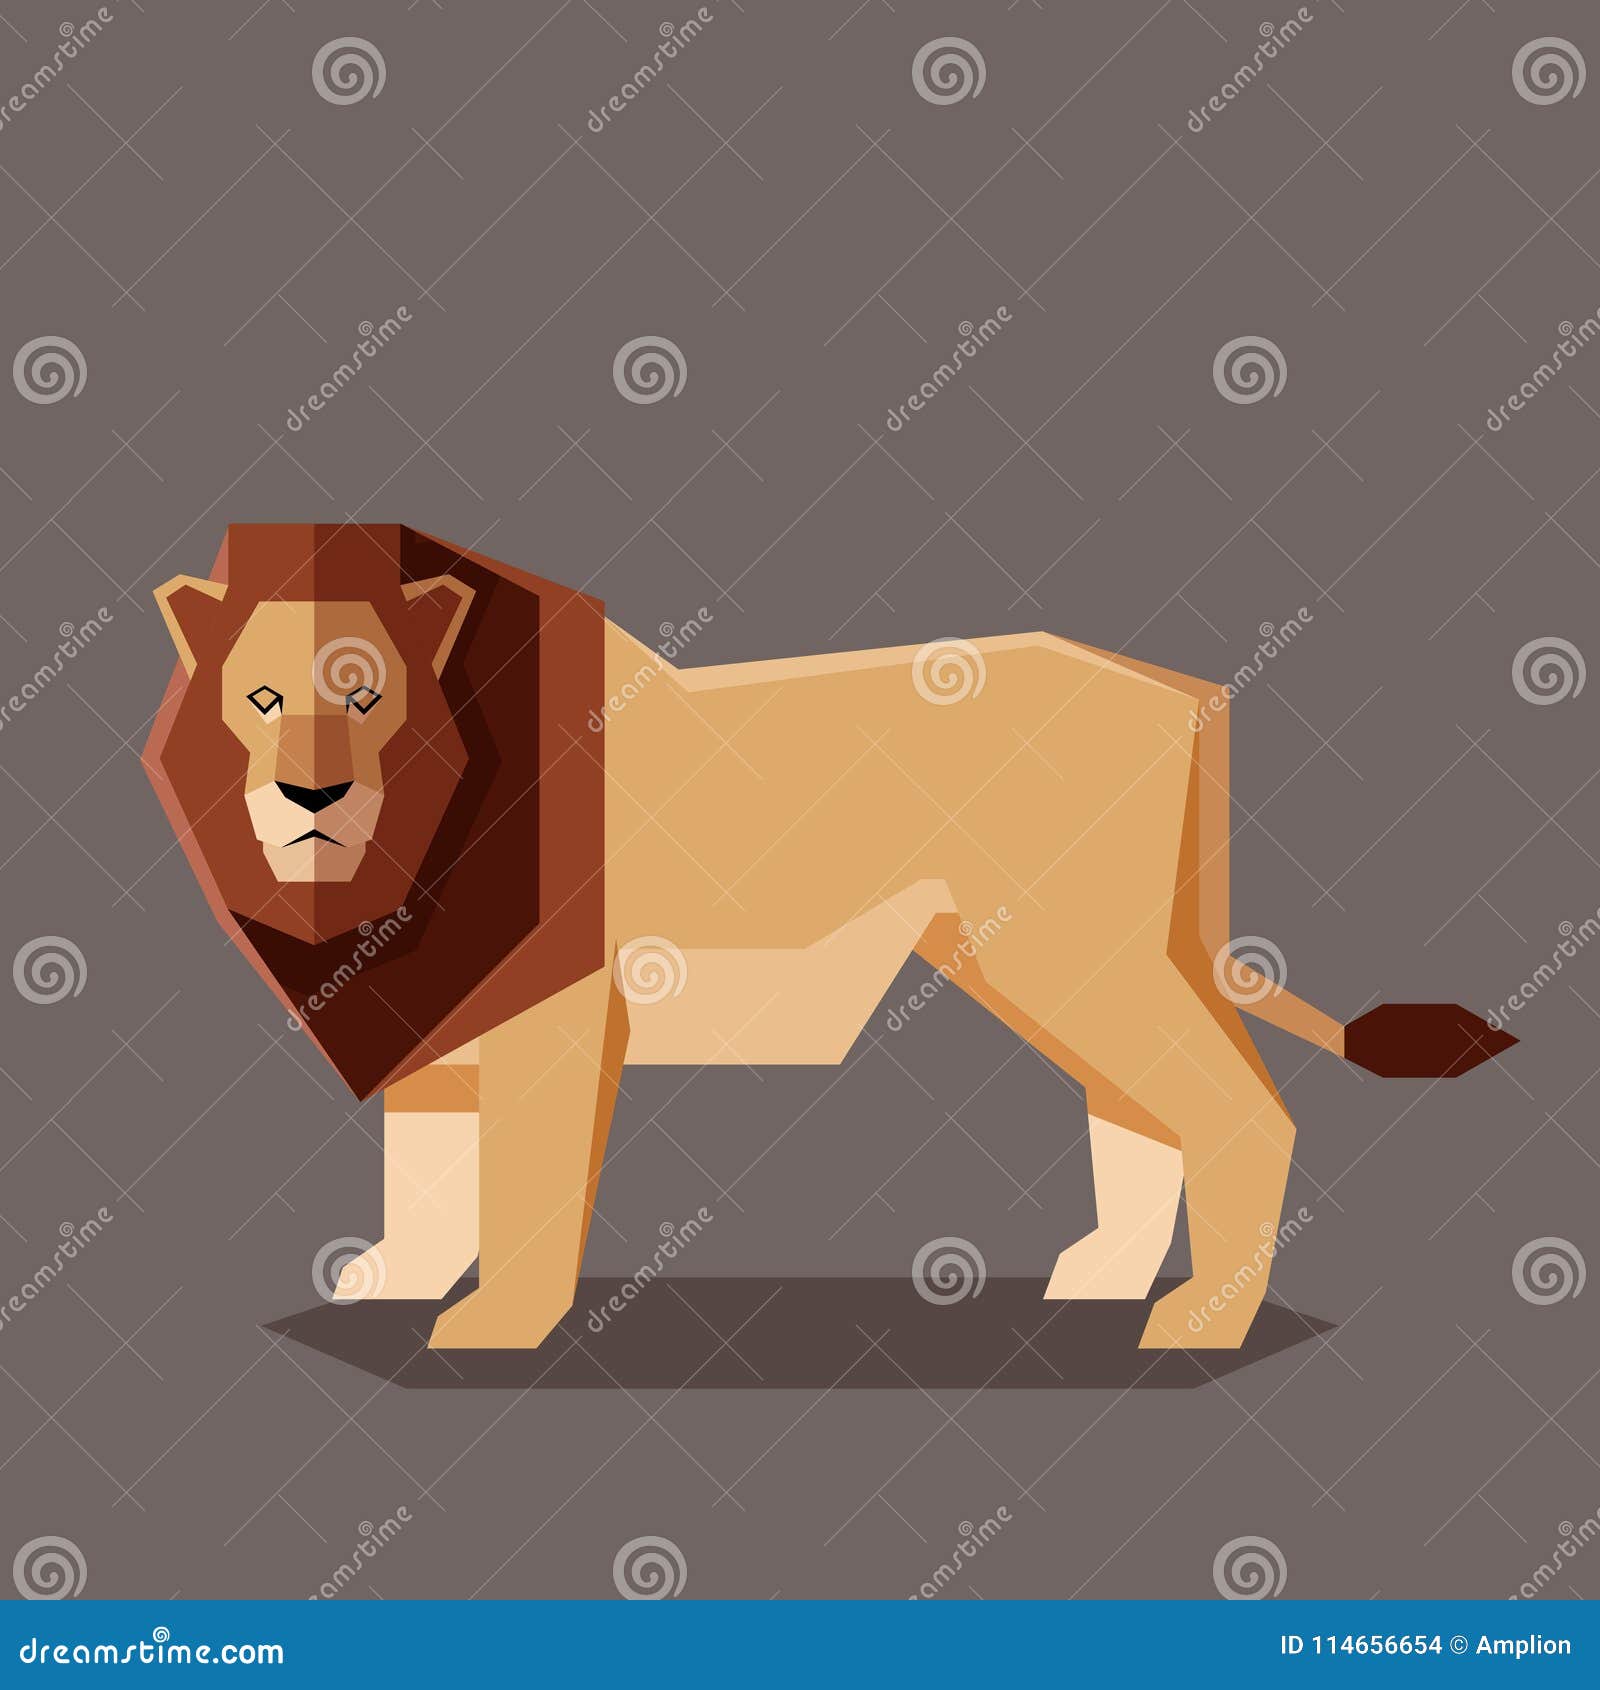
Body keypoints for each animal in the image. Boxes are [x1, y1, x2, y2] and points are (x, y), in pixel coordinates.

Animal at [144, 524, 1512, 1353]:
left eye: (366, 692)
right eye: (262, 697)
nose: (310, 793)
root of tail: (1180, 693)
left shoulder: (554, 1022)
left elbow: (521, 1183)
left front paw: (498, 1324)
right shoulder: (439, 1025)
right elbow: (426, 1163)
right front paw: (398, 1274)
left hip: (1076, 951)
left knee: (1239, 1110)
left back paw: (1200, 1323)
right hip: (1050, 956)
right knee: (1141, 1109)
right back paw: (1112, 1276)